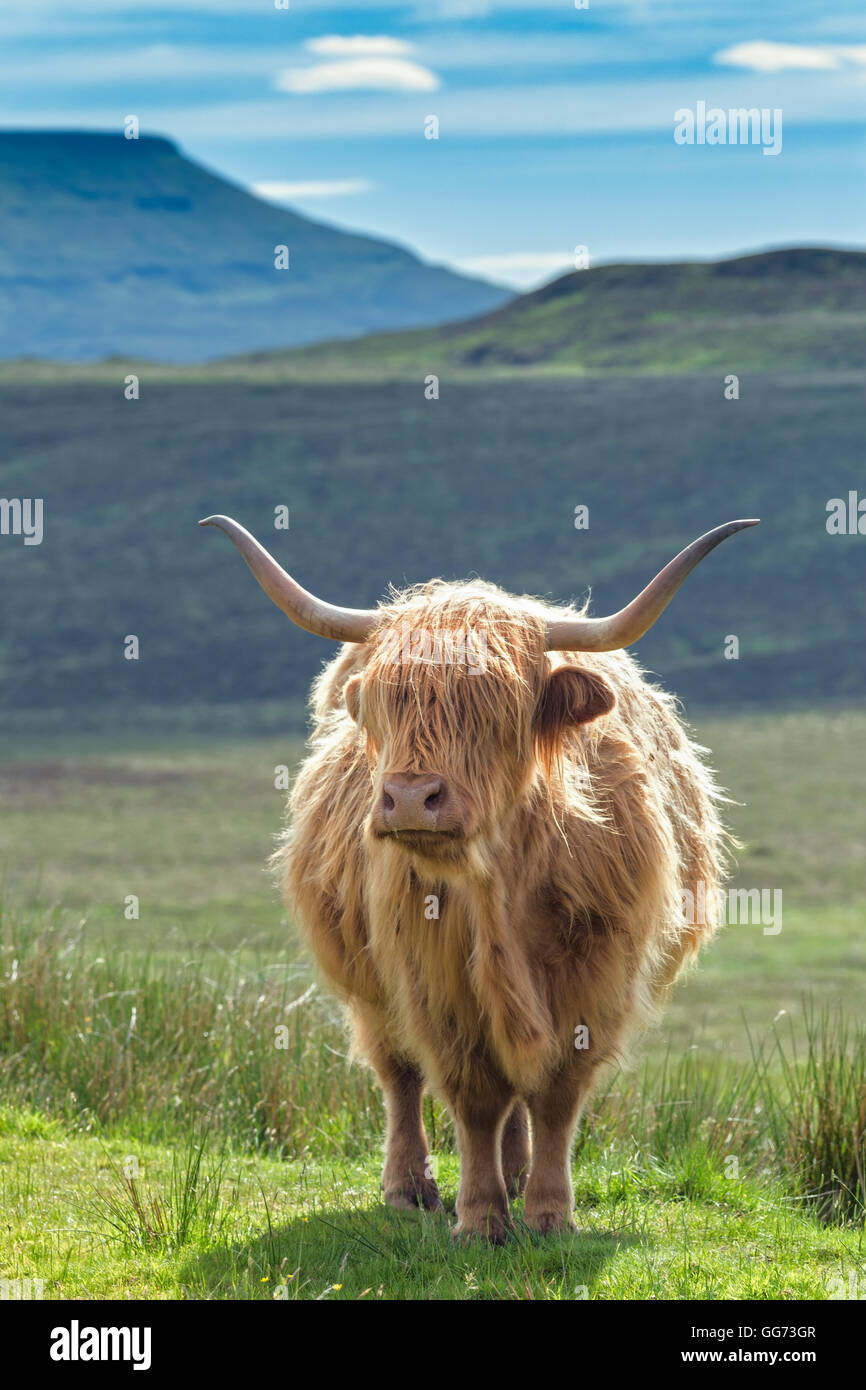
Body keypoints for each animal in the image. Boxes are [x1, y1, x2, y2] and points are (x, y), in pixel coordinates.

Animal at [201, 514, 758, 1241]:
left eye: (494, 704)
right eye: (385, 702)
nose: (411, 799)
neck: (501, 890)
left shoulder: (597, 977)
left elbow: (555, 1095)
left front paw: (548, 1212)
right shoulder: (433, 981)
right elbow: (473, 1098)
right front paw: (480, 1217)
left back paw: (518, 1176)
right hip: (370, 985)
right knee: (398, 1074)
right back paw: (410, 1188)